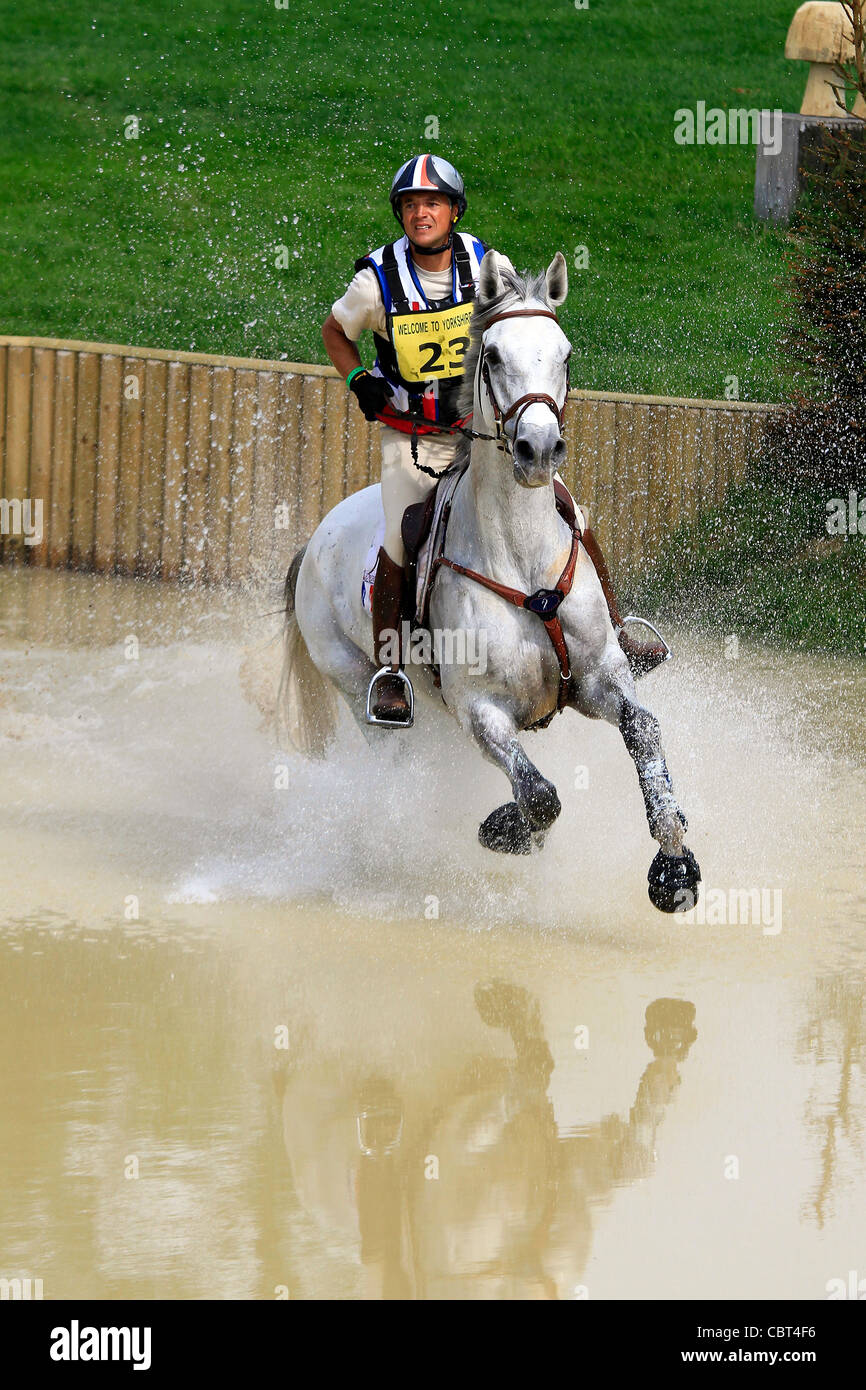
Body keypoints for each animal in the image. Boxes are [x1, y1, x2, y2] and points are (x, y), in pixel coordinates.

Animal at [280, 250, 700, 913]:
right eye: (494, 356)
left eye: (566, 354)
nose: (538, 449)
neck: (521, 559)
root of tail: (315, 539)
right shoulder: (480, 709)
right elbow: (541, 798)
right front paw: (505, 828)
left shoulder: (601, 678)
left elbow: (644, 732)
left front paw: (675, 865)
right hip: (352, 679)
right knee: (393, 754)